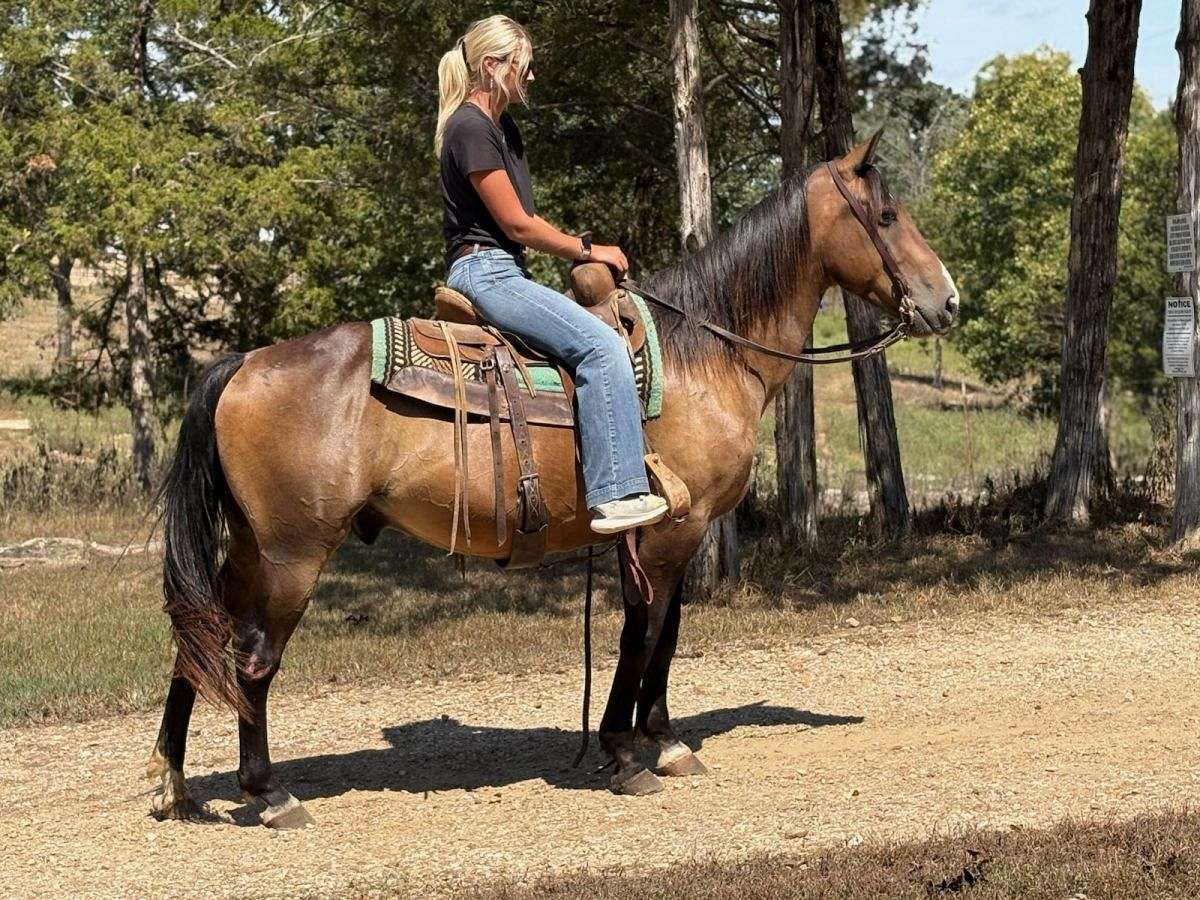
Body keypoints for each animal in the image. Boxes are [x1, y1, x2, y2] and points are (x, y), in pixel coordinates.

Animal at [146, 131, 959, 827]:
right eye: (887, 214)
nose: (946, 300)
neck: (702, 353)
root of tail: (243, 365)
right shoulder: (670, 531)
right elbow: (642, 634)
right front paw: (626, 752)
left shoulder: (678, 533)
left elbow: (664, 635)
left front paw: (662, 741)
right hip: (293, 553)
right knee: (253, 658)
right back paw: (268, 793)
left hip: (248, 549)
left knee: (196, 641)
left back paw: (172, 781)